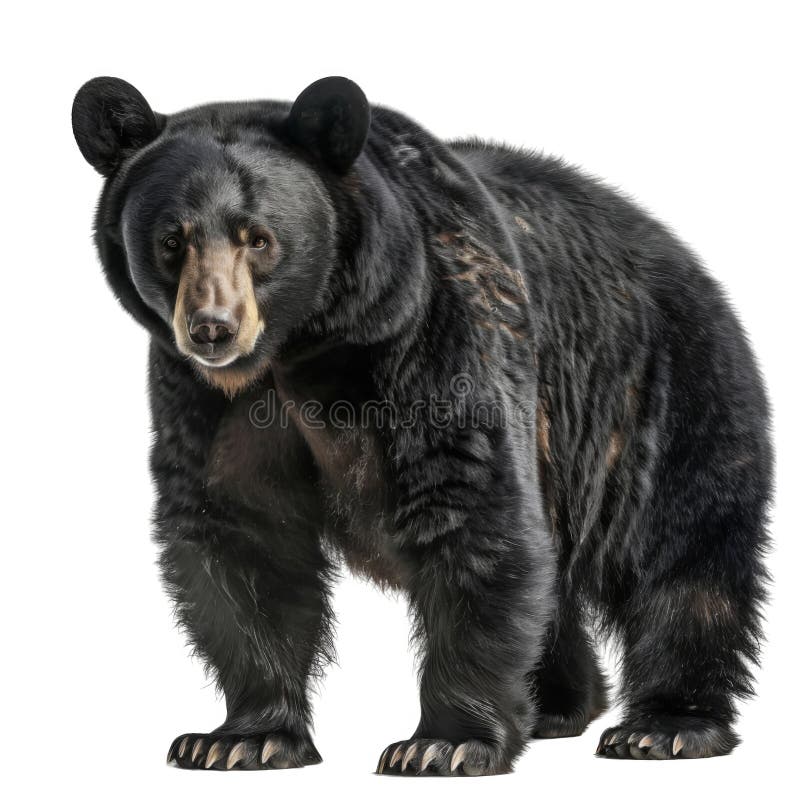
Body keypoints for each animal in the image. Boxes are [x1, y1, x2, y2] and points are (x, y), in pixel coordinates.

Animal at [72, 75, 772, 774]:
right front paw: (240, 737)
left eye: (259, 237)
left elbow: (468, 507)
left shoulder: (437, 336)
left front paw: (444, 742)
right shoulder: (209, 402)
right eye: (172, 240)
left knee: (681, 561)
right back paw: (555, 705)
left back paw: (664, 727)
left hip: (659, 396)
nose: (212, 329)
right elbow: (241, 531)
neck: (307, 351)